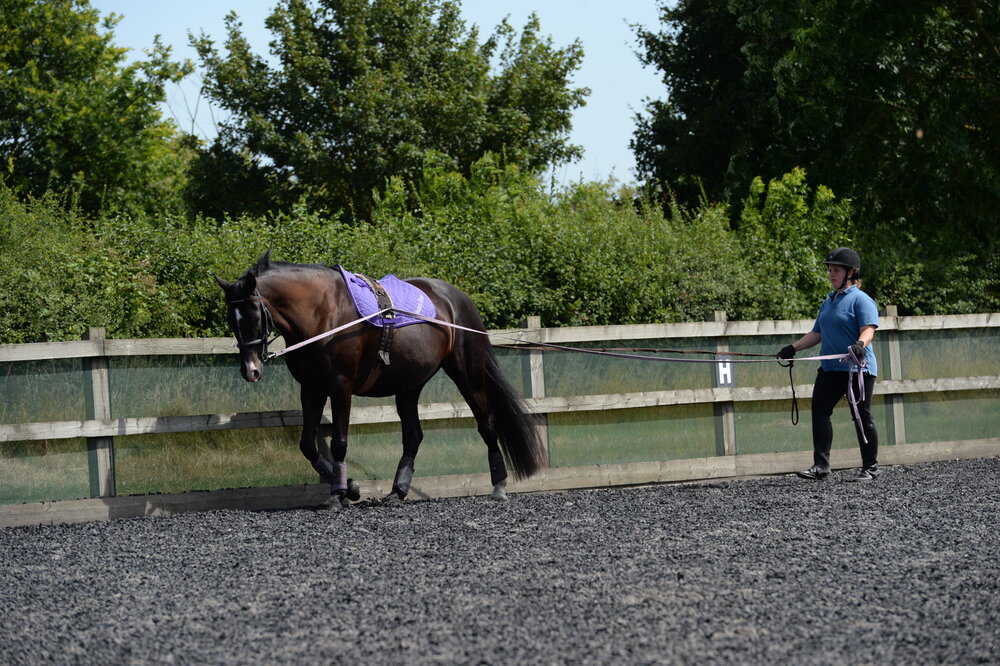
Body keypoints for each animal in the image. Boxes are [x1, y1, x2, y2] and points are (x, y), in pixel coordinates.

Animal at [214, 250, 546, 504]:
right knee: (413, 436)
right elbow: (308, 444)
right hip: (409, 386)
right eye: (231, 319)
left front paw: (338, 493)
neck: (322, 313)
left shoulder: (341, 386)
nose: (251, 370)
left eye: (254, 315)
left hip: (467, 374)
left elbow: (339, 441)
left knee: (486, 423)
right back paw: (398, 490)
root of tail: (457, 299)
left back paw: (499, 485)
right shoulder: (311, 388)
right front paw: (351, 487)